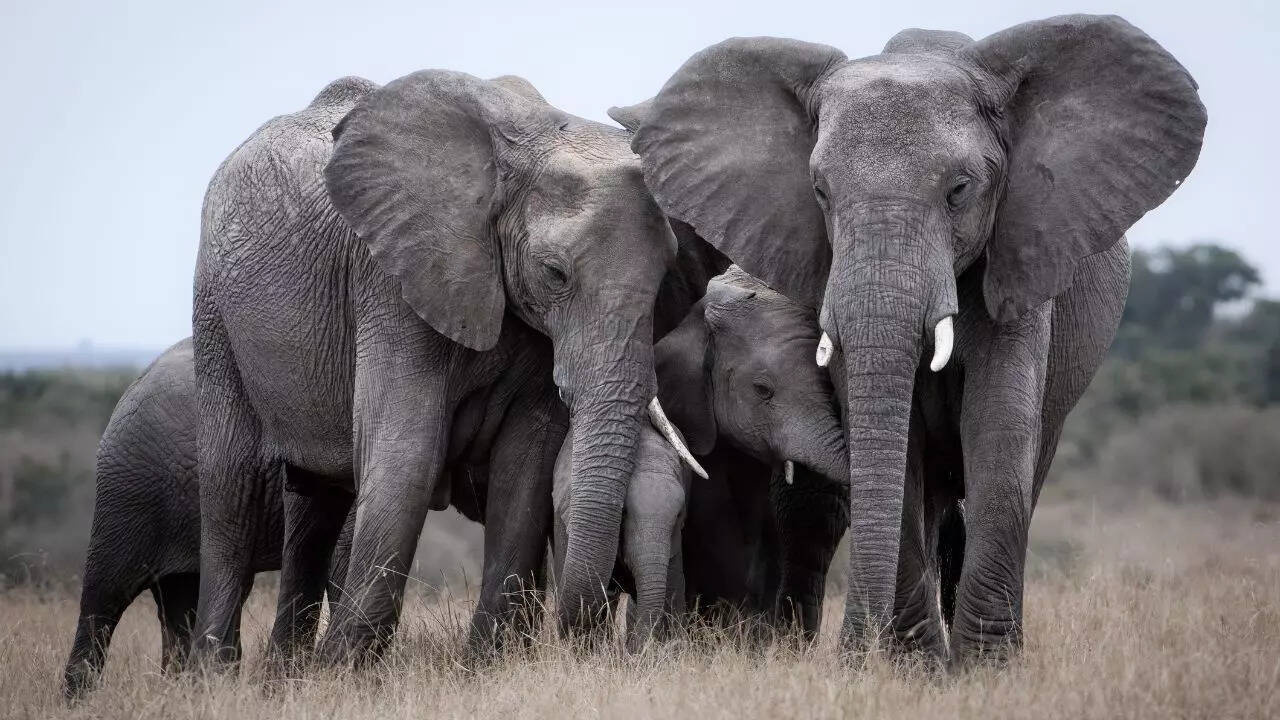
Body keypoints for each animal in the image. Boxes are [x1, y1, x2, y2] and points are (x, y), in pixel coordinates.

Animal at [192, 71, 695, 666]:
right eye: (555, 274)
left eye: (666, 275)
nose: (585, 640)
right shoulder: (392, 280)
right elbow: (406, 456)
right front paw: (347, 671)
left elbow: (525, 467)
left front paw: (486, 664)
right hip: (215, 311)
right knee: (232, 489)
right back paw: (217, 671)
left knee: (315, 505)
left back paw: (285, 673)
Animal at [614, 14, 1205, 661]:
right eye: (820, 192)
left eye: (960, 190)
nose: (853, 651)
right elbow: (890, 445)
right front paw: (913, 665)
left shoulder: (1020, 252)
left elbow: (1000, 427)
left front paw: (985, 667)